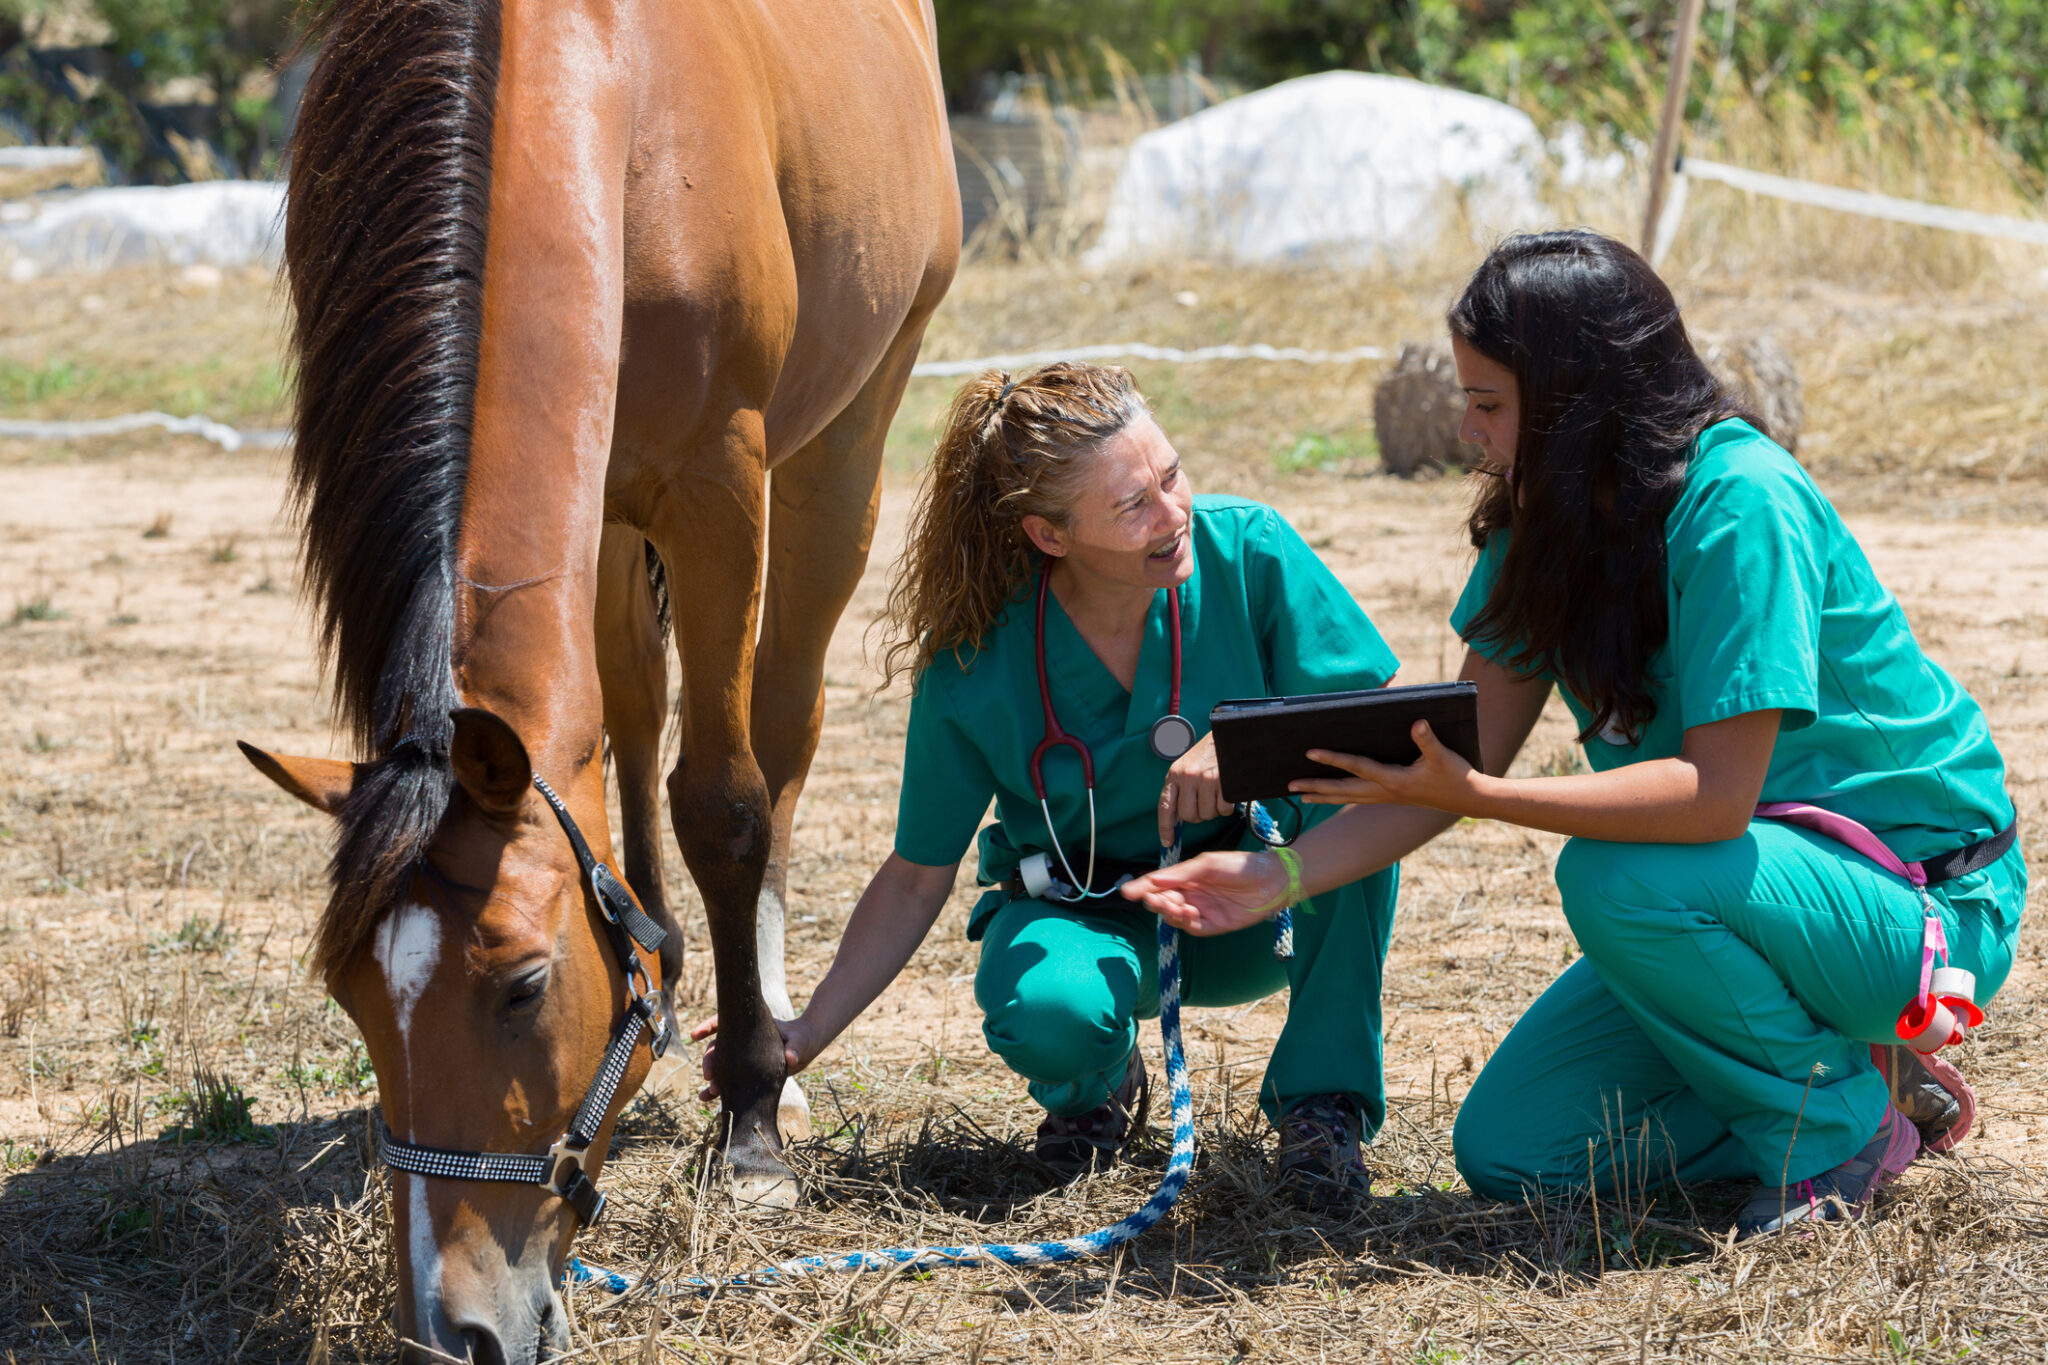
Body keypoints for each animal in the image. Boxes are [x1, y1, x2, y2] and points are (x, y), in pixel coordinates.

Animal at [236, 0, 958, 1357]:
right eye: (352, 997)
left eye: (521, 988)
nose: (454, 1329)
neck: (615, 104)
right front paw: (664, 985)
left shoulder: (718, 483)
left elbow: (724, 800)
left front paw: (752, 1125)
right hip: (618, 526)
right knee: (630, 711)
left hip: (843, 440)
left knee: (779, 728)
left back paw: (768, 1043)